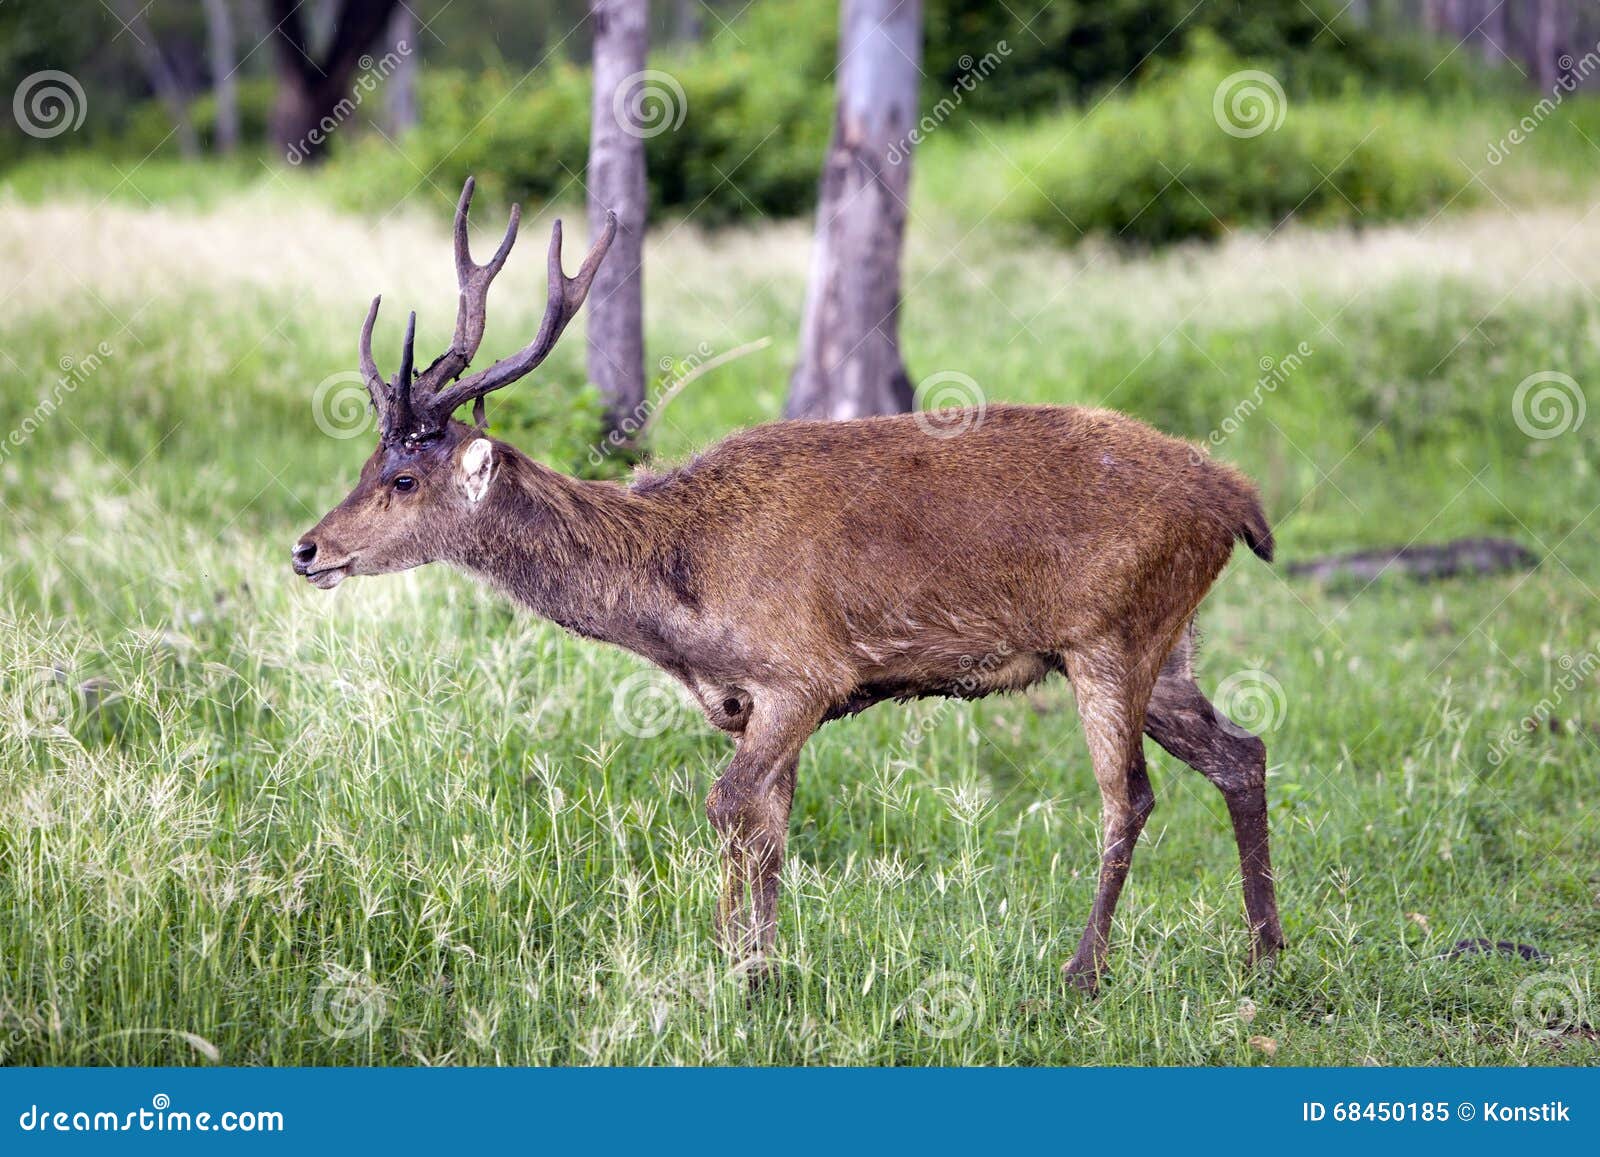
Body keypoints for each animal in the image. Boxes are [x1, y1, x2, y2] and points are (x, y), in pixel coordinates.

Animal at [293, 176, 1285, 993]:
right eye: (366, 462)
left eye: (403, 479)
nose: (307, 549)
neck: (682, 597)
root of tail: (1238, 498)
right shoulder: (753, 699)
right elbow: (765, 823)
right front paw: (762, 969)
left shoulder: (805, 672)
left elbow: (726, 805)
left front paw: (734, 973)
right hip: (1169, 647)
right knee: (1244, 750)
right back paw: (1266, 951)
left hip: (1111, 636)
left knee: (1131, 796)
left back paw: (1083, 972)